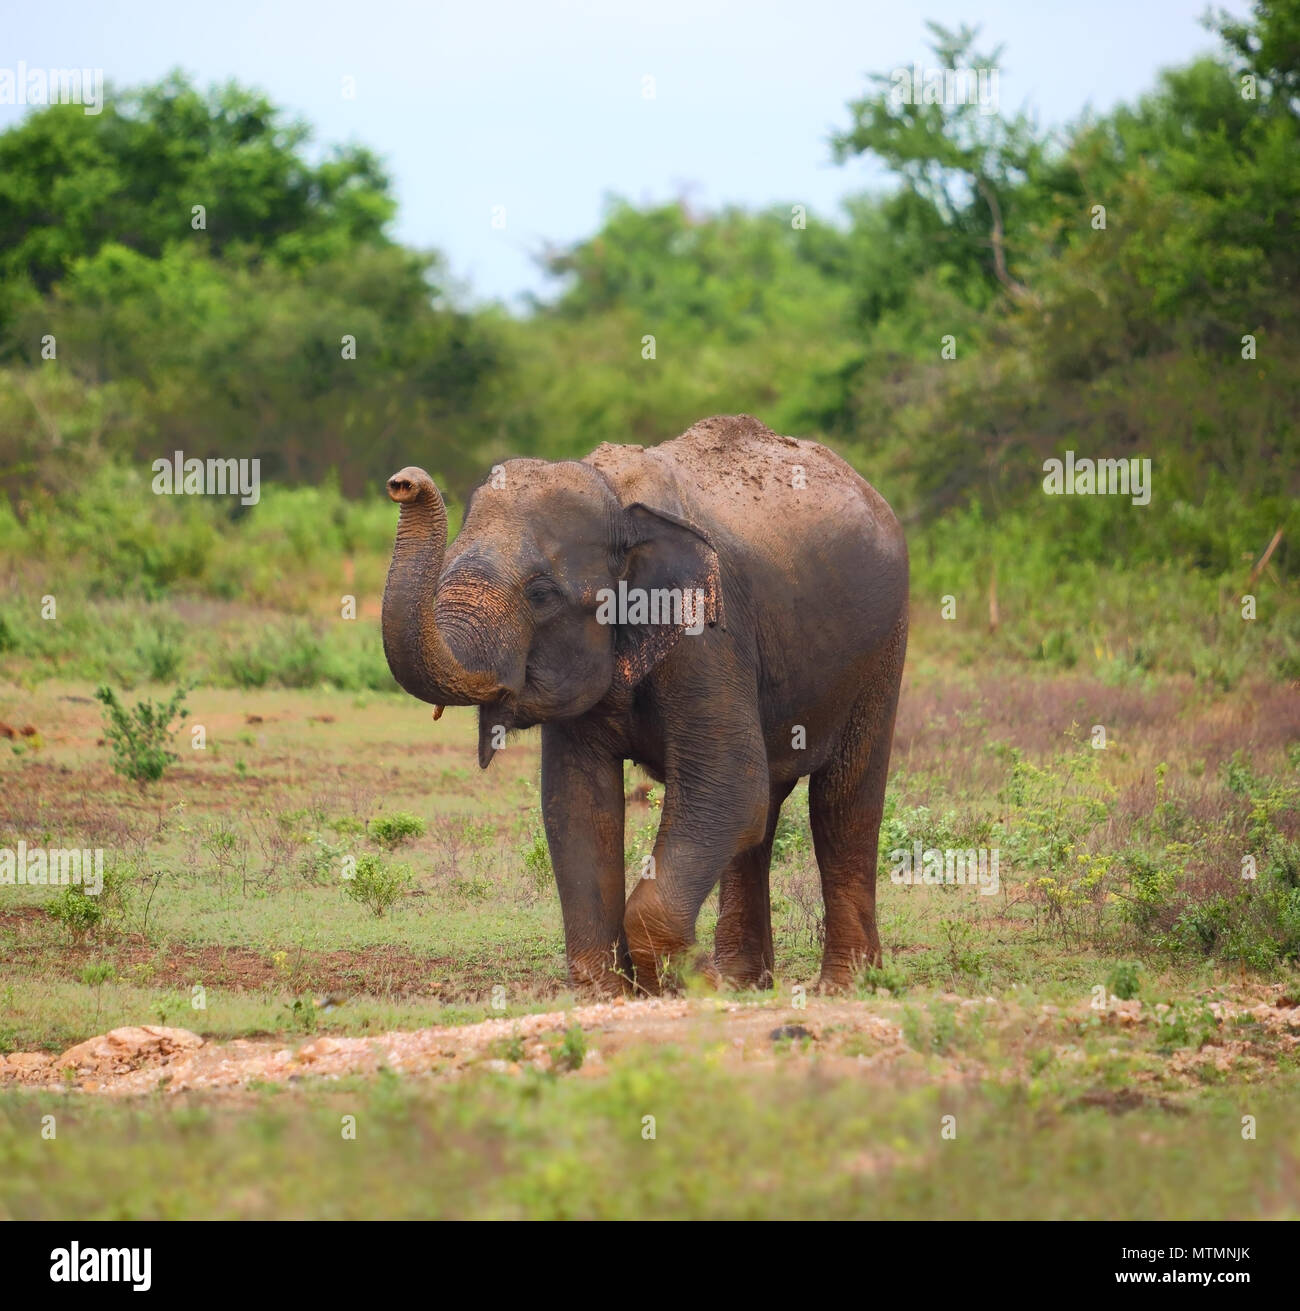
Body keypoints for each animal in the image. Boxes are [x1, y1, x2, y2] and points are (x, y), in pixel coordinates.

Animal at [381, 414, 908, 995]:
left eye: (541, 595)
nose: (403, 481)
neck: (618, 500)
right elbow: (578, 806)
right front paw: (612, 995)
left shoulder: (707, 637)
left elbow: (725, 784)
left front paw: (693, 983)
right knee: (763, 811)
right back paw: (746, 983)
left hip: (883, 647)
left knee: (840, 802)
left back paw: (843, 985)